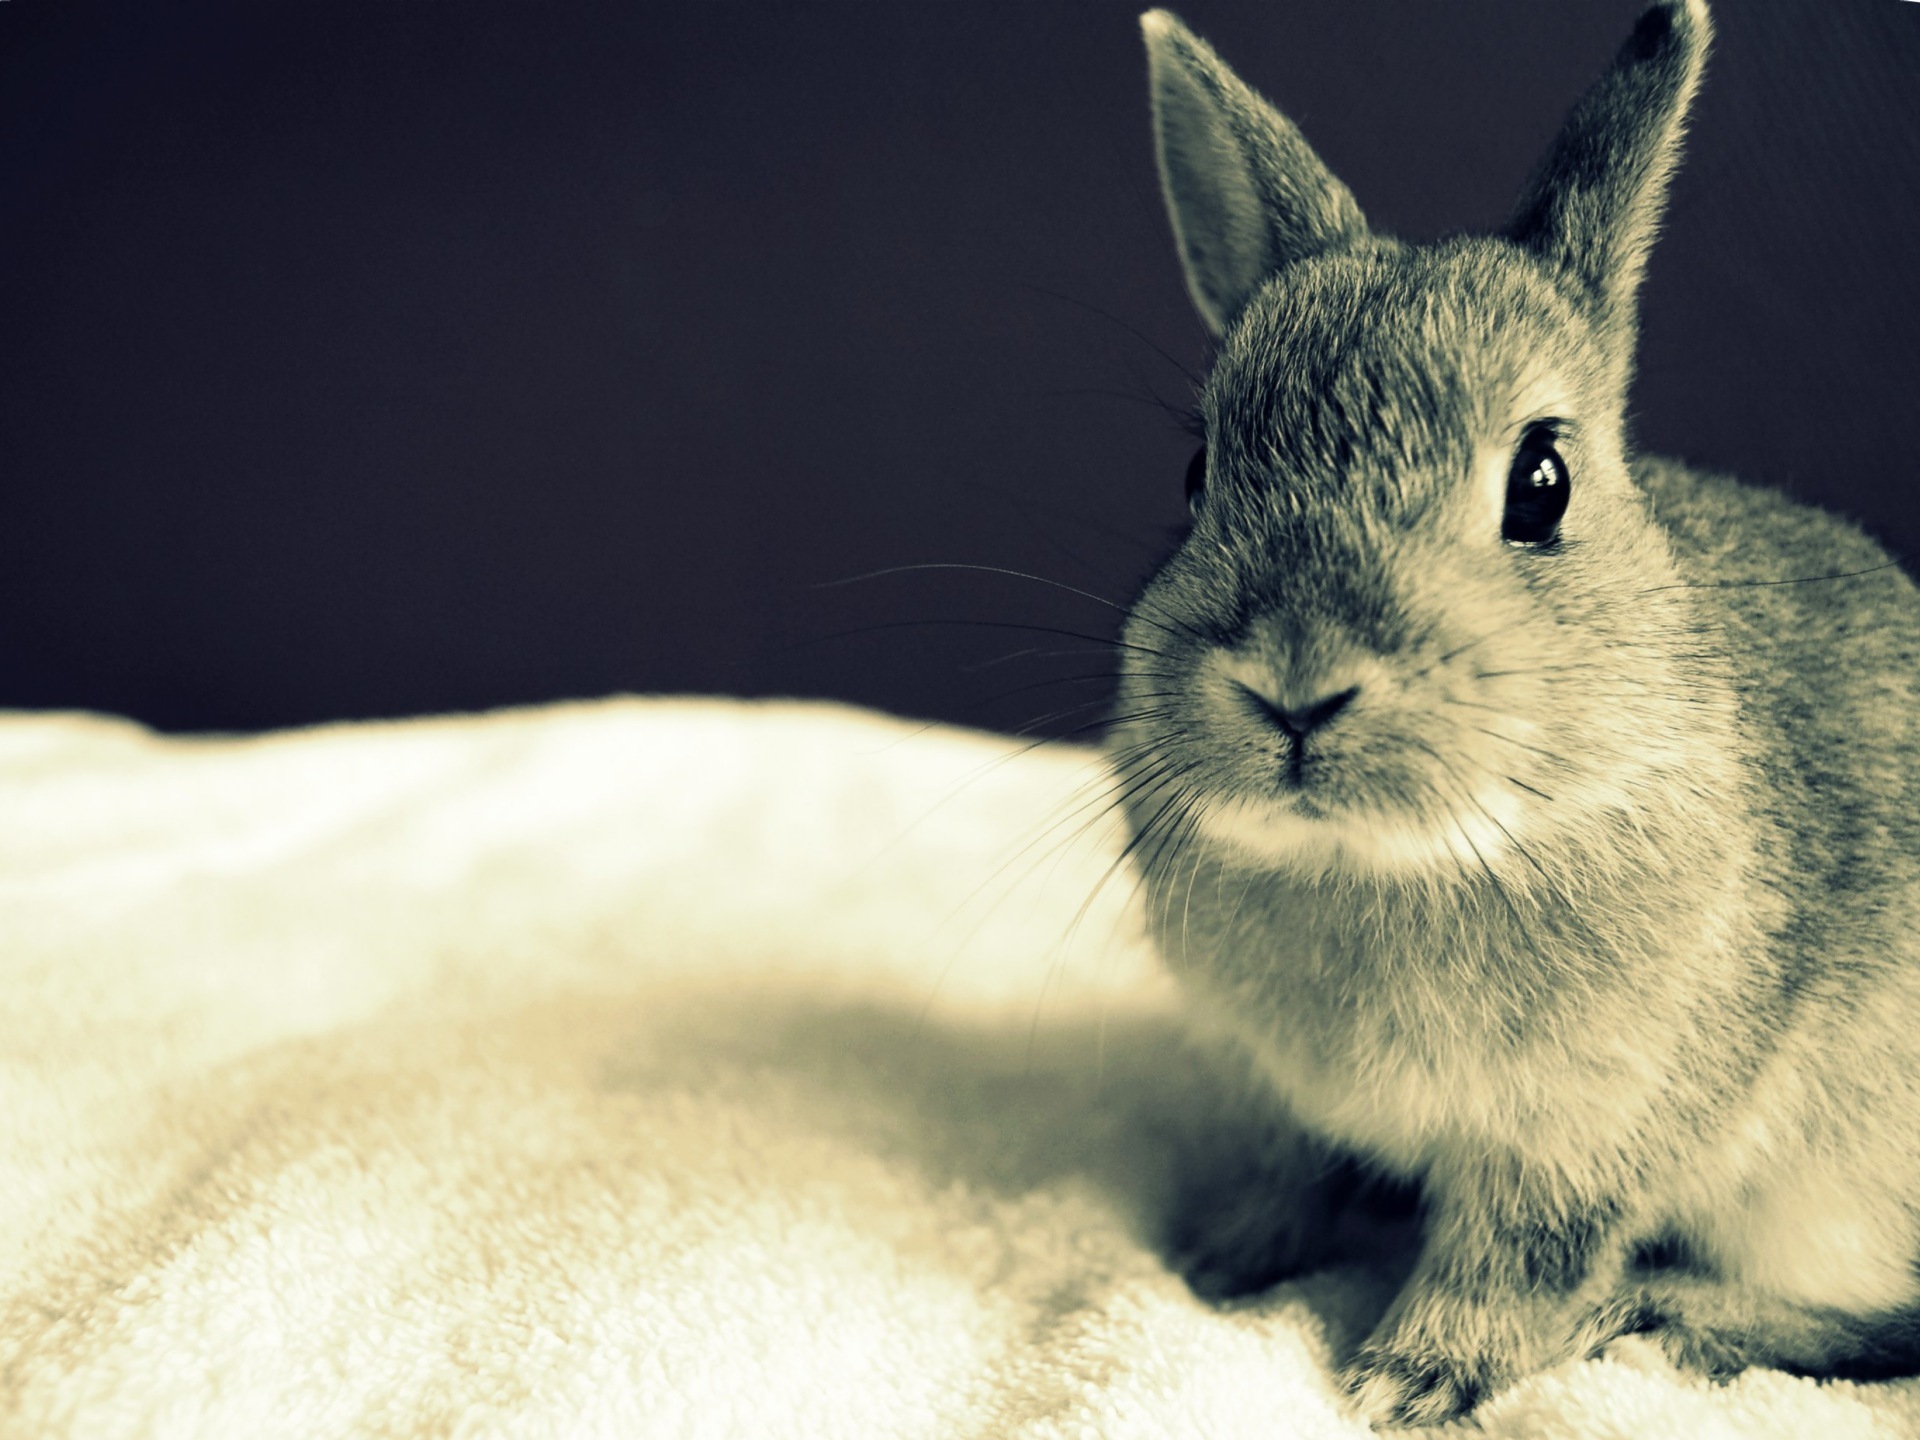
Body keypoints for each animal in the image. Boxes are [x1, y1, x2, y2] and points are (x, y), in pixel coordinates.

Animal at [1111, 0, 1920, 1426]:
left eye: (1542, 482)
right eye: (1200, 473)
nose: (1294, 684)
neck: (1385, 860)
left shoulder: (1587, 1135)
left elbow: (1511, 1262)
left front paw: (1403, 1380)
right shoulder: (1292, 1103)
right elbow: (1295, 1175)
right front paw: (1221, 1263)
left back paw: (1667, 1313)